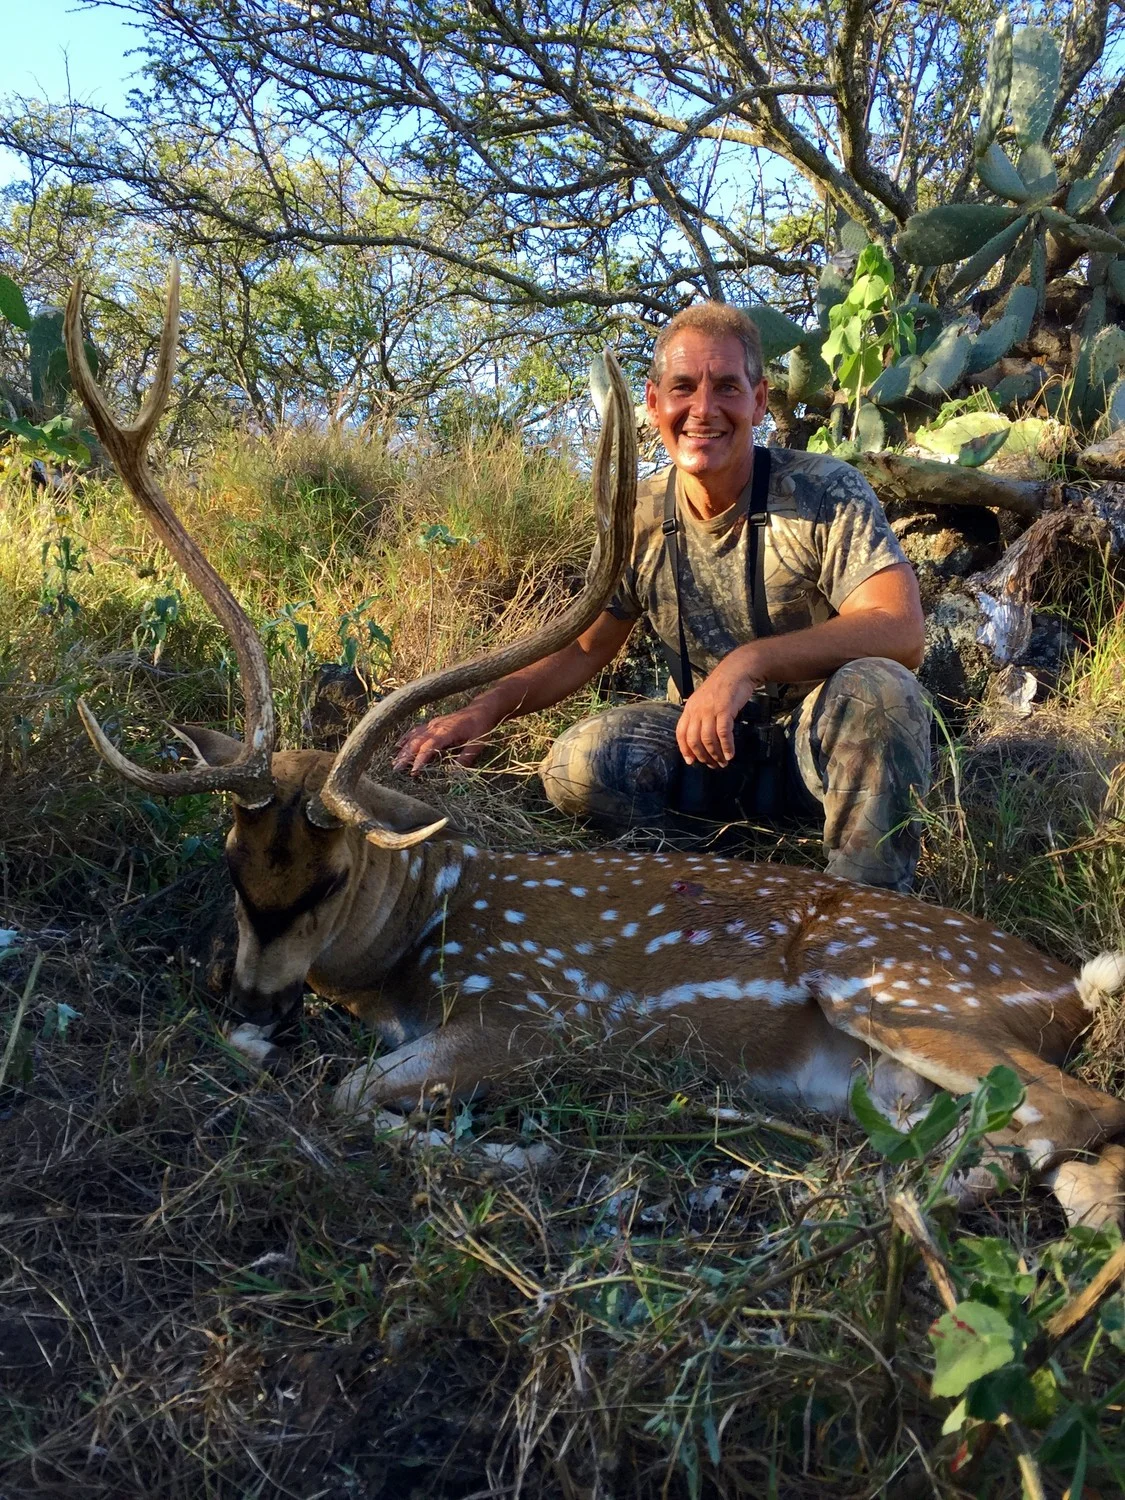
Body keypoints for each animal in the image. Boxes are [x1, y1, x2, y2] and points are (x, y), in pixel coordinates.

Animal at [65, 265, 1125, 1229]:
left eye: (330, 878)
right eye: (232, 863)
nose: (247, 998)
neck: (412, 943)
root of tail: (1064, 988)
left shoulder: (537, 1012)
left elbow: (350, 1092)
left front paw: (514, 1154)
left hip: (898, 985)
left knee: (1078, 1111)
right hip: (893, 1072)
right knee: (1042, 1157)